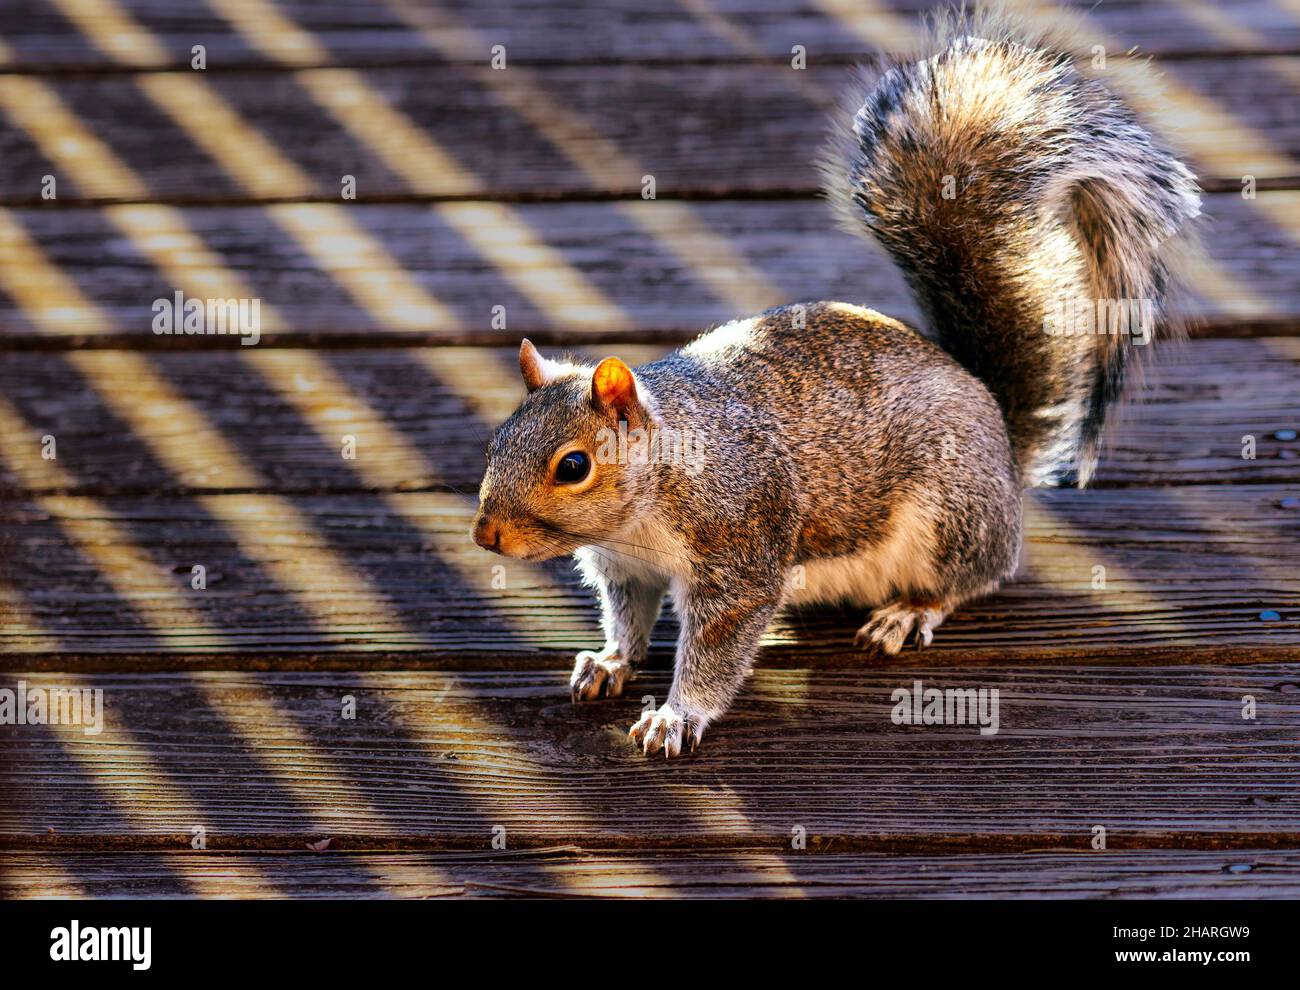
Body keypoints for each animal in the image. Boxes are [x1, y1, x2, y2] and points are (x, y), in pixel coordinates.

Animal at [471, 10, 1201, 757]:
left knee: (972, 576)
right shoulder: (625, 569)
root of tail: (998, 432)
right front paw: (611, 662)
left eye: (574, 466)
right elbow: (628, 619)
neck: (658, 489)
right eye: (495, 443)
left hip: (953, 511)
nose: (486, 536)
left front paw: (676, 715)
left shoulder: (740, 551)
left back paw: (908, 611)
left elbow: (717, 648)